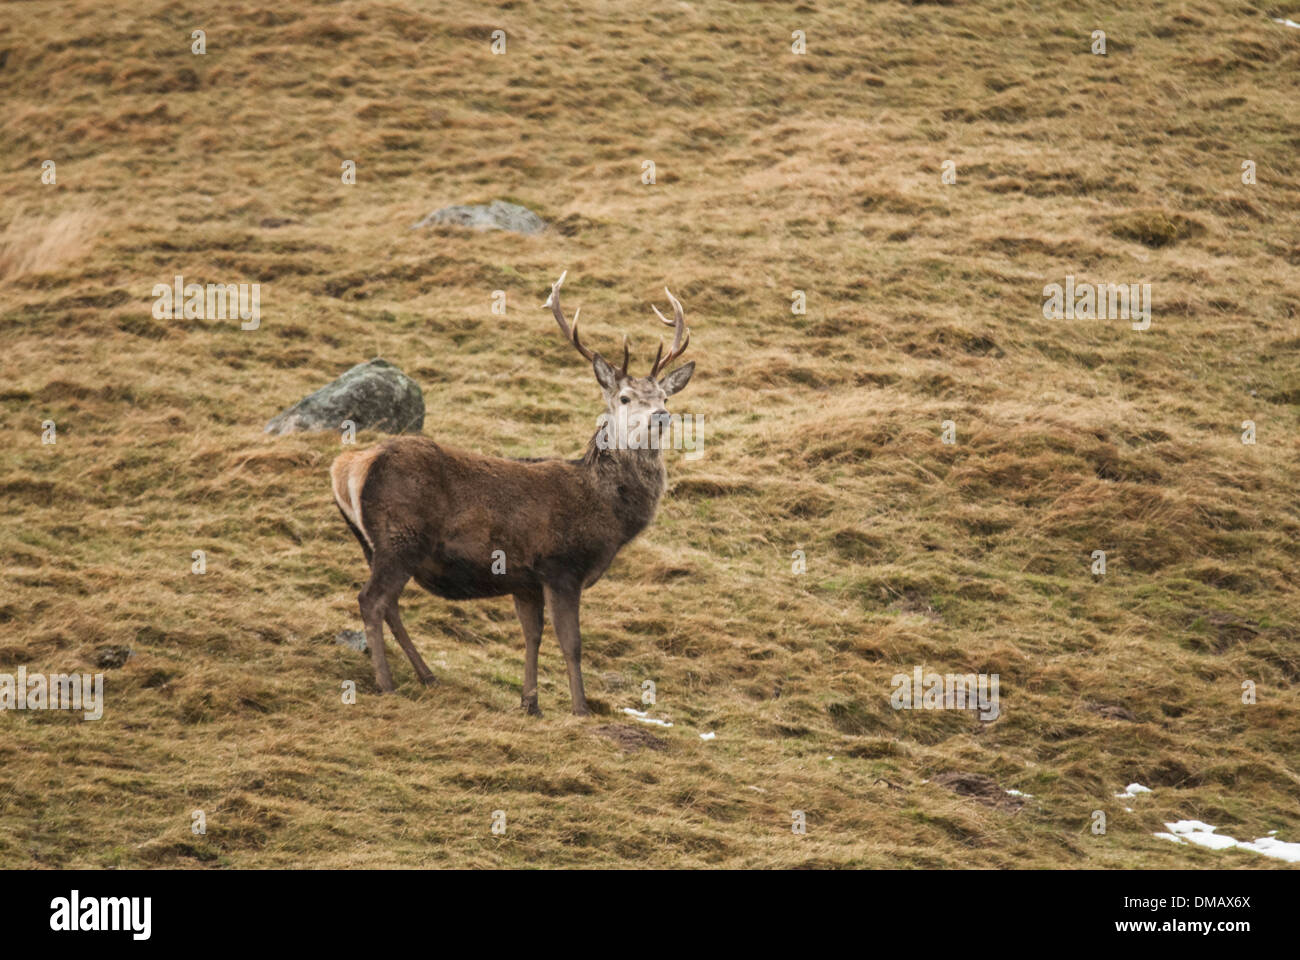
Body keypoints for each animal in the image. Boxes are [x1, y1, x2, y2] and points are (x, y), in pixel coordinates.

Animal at [329, 272, 694, 716]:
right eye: (625, 398)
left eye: (664, 396)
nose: (662, 416)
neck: (606, 512)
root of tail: (347, 467)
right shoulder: (561, 565)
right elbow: (571, 643)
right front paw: (581, 709)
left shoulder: (525, 580)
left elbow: (532, 636)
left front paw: (530, 703)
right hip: (401, 536)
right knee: (372, 600)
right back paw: (388, 684)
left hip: (376, 544)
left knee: (390, 606)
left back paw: (427, 675)